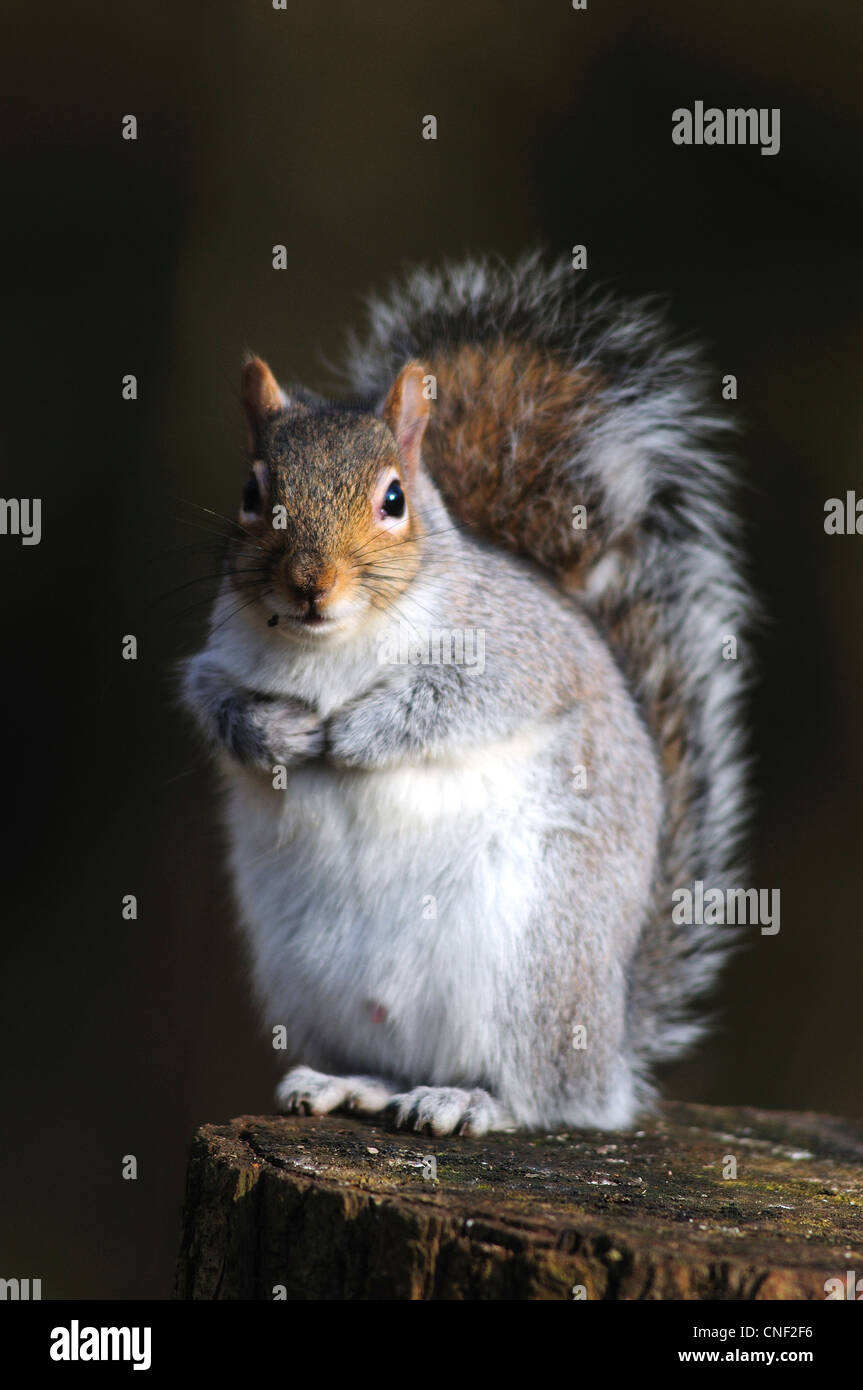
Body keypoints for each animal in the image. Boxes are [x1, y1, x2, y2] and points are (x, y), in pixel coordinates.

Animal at [182, 253, 750, 1136]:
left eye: (393, 499)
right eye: (250, 494)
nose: (309, 583)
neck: (326, 650)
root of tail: (612, 1054)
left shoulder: (518, 652)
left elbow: (457, 704)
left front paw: (355, 735)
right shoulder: (218, 657)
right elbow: (212, 702)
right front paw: (275, 734)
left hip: (533, 963)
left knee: (539, 1094)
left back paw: (468, 1100)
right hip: (308, 979)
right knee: (390, 1062)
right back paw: (350, 1083)